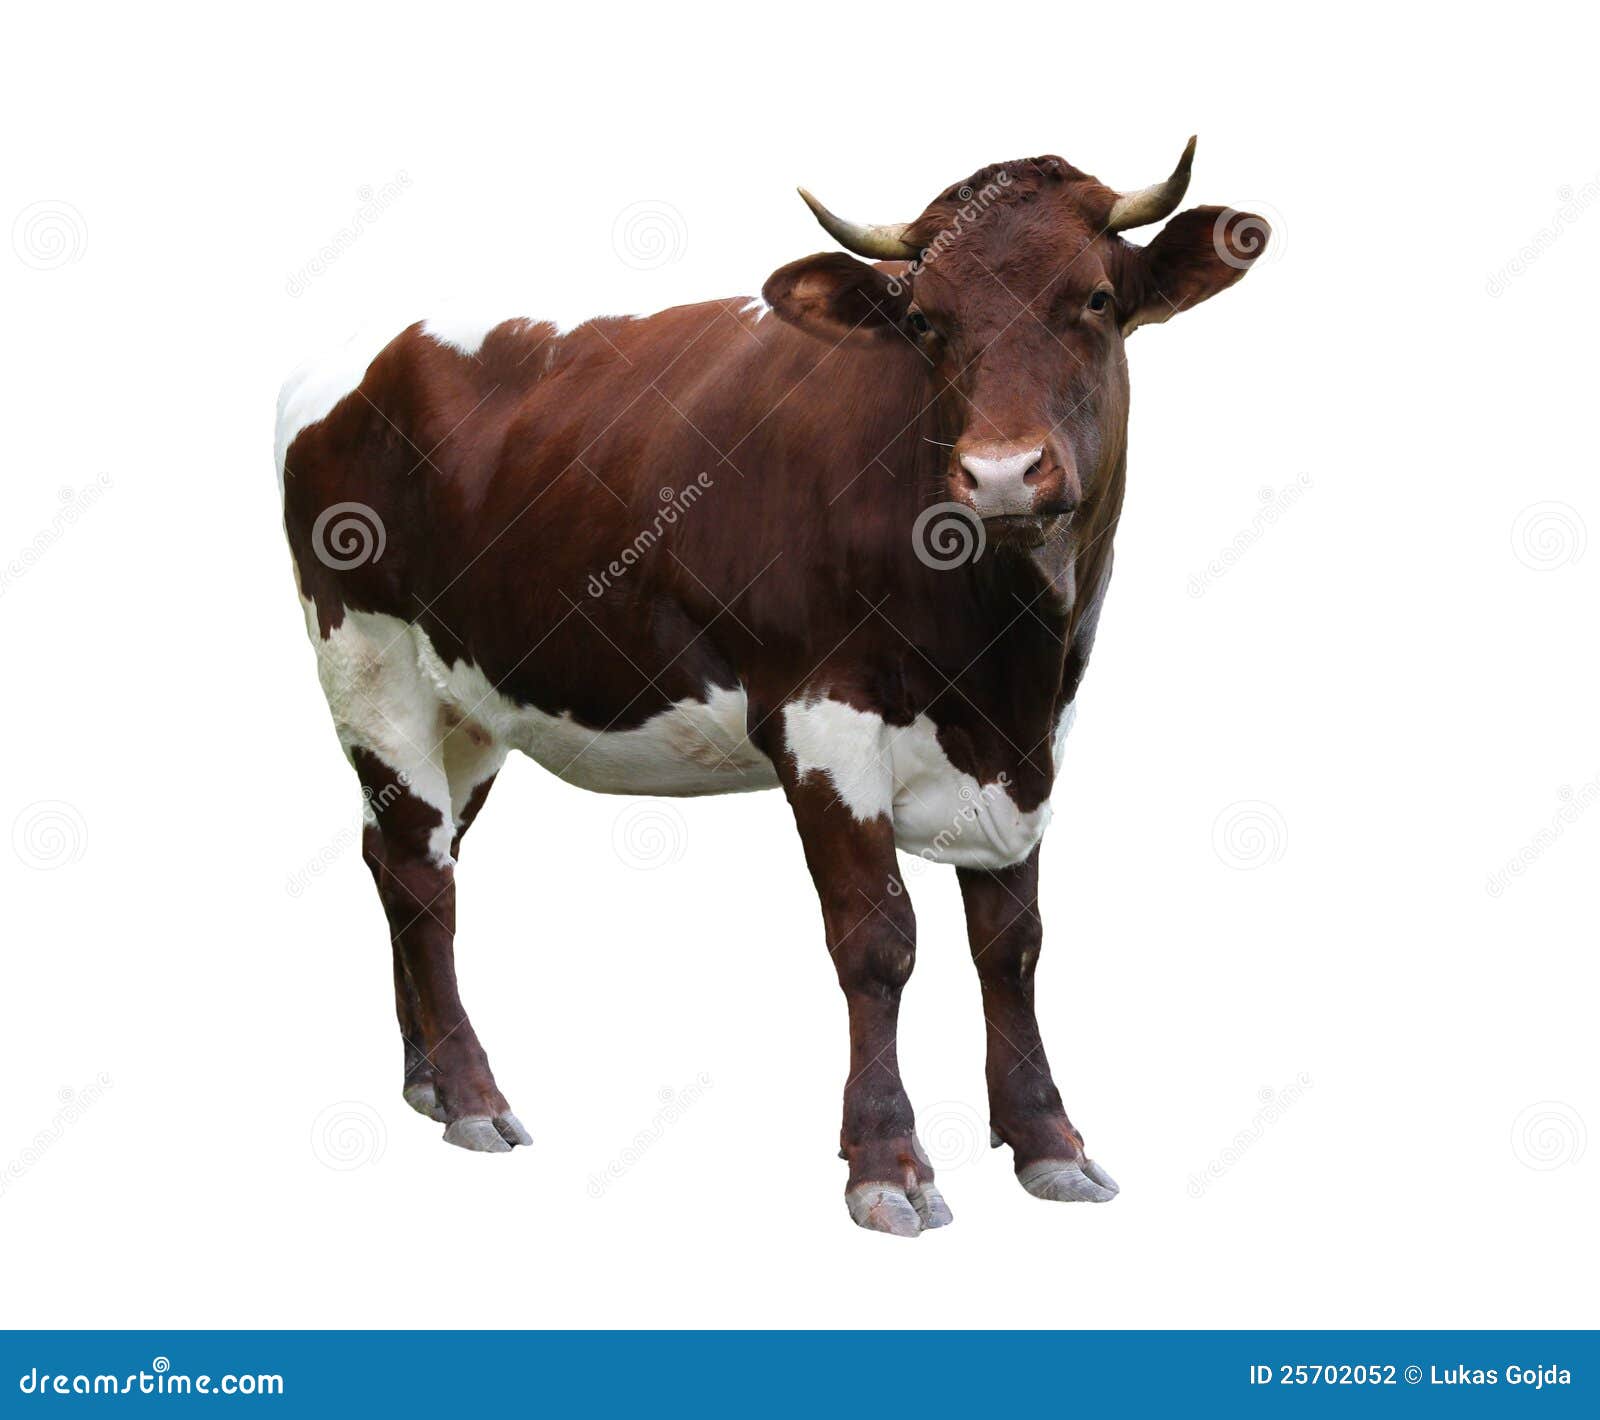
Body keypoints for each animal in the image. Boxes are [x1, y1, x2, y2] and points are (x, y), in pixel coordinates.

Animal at [276, 140, 1268, 1235]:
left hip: (469, 698)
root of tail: (361, 350)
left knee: (398, 854)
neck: (1003, 658)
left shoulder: (1034, 738)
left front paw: (1049, 1143)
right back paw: (472, 1096)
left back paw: (424, 1078)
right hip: (367, 657)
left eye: (1094, 298)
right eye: (925, 321)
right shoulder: (821, 712)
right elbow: (878, 940)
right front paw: (888, 1163)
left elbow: (1011, 944)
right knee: (422, 873)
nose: (1003, 474)